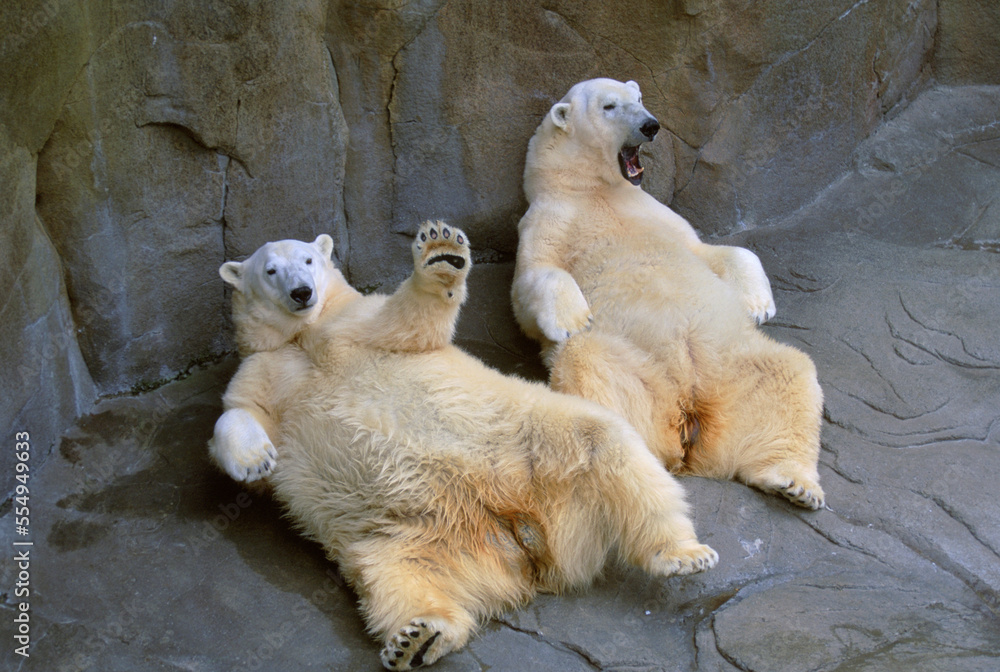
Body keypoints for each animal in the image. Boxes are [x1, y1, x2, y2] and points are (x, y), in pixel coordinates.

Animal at [210, 221, 718, 670]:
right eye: (270, 270)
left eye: (309, 260)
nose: (302, 292)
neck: (305, 336)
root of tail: (522, 538)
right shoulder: (269, 368)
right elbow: (241, 413)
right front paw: (255, 460)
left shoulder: (355, 325)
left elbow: (412, 323)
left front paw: (441, 253)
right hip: (408, 535)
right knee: (394, 576)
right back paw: (419, 637)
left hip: (532, 444)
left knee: (606, 445)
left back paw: (682, 552)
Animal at [511, 78, 825, 510]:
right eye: (609, 106)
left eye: (639, 98)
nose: (651, 125)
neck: (593, 190)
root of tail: (688, 415)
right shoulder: (548, 217)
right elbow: (532, 280)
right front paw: (571, 319)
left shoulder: (657, 214)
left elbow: (713, 250)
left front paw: (758, 305)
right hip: (639, 372)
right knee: (588, 365)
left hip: (733, 368)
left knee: (789, 373)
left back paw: (794, 483)